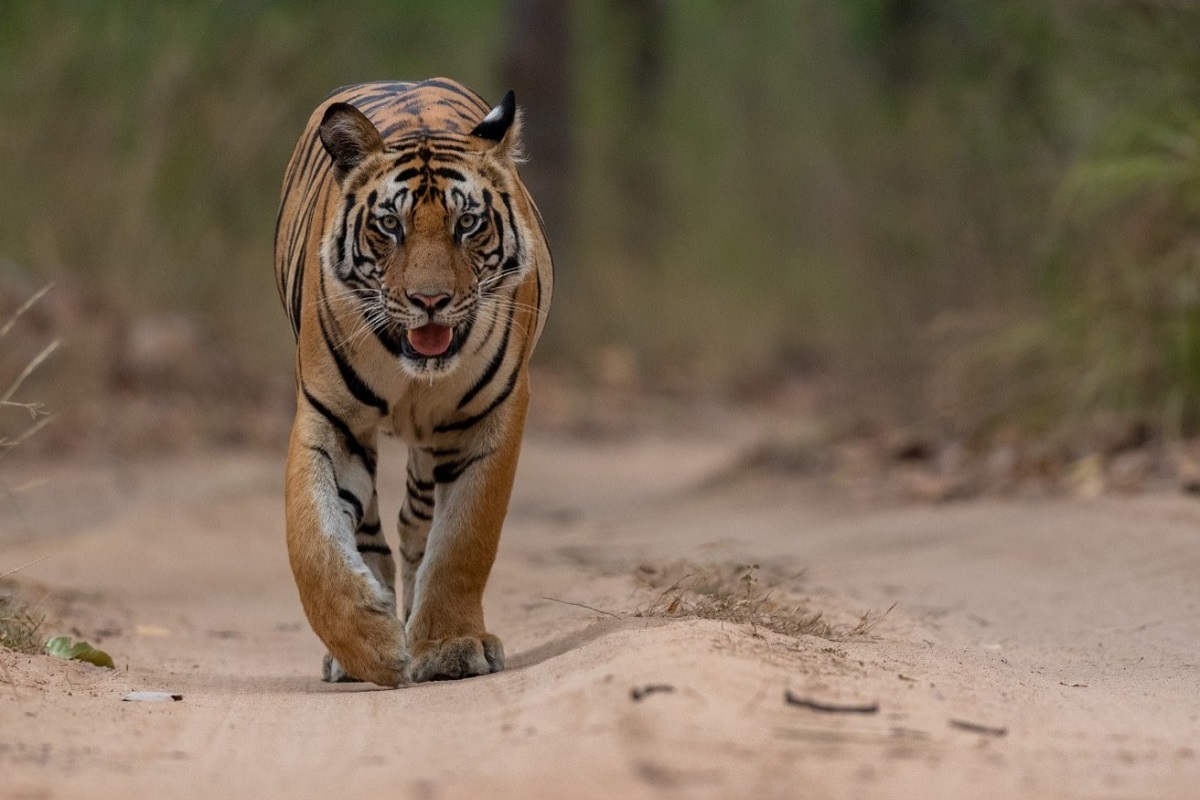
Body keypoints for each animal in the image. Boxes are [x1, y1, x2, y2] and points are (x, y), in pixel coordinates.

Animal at [274, 78, 552, 687]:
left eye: (467, 223)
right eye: (389, 226)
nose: (430, 301)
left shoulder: (491, 417)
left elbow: (462, 540)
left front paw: (448, 646)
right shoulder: (329, 420)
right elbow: (313, 543)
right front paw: (372, 647)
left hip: (436, 442)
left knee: (415, 525)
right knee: (371, 530)